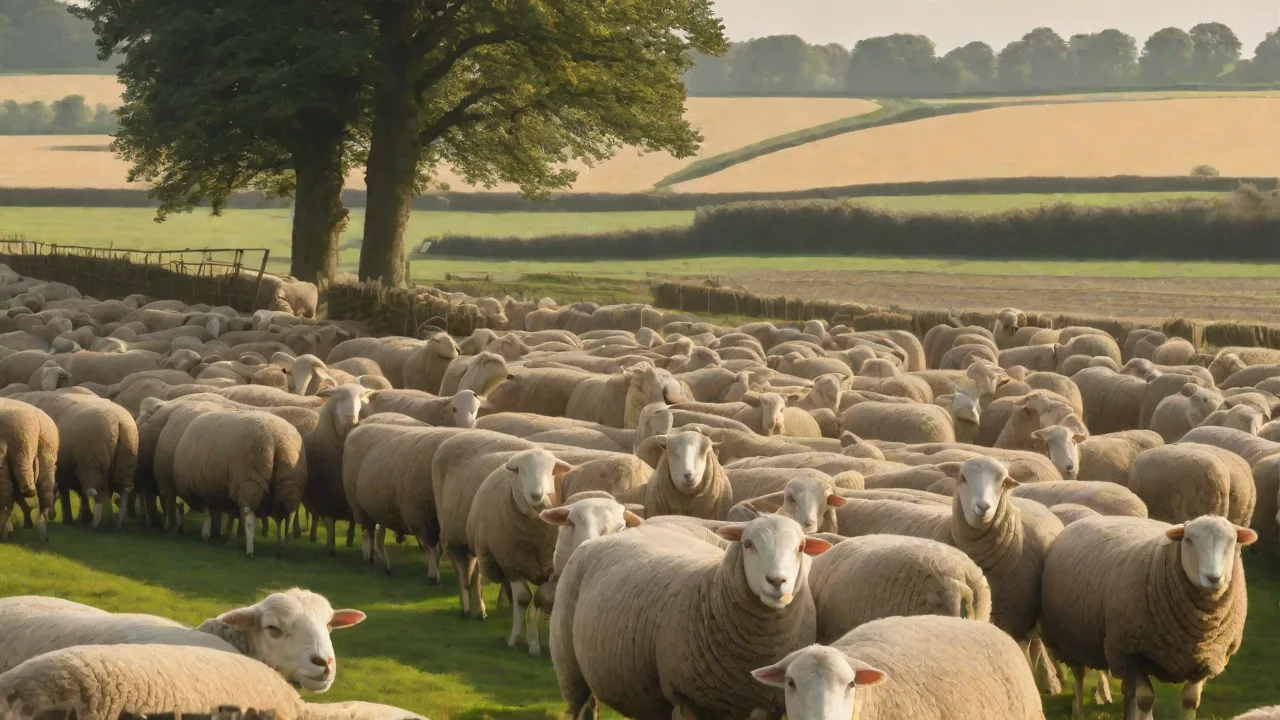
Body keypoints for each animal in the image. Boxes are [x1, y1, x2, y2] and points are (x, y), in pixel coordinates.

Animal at [174, 409, 307, 558]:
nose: (179, 530)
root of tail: (276, 436)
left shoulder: (201, 491)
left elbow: (208, 515)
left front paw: (206, 535)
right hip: (290, 483)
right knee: (287, 515)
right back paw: (280, 546)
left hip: (249, 483)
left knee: (250, 518)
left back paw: (250, 551)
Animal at [550, 515, 830, 720]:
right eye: (748, 544)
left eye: (801, 548)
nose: (777, 581)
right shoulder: (687, 700)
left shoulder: (765, 704)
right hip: (568, 665)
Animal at [1041, 515, 1254, 720]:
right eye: (1189, 540)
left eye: (1232, 541)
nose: (1213, 578)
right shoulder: (1130, 652)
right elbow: (1145, 699)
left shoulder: (1208, 658)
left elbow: (1190, 699)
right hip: (1071, 639)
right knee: (1079, 675)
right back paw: (1078, 712)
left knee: (1127, 691)